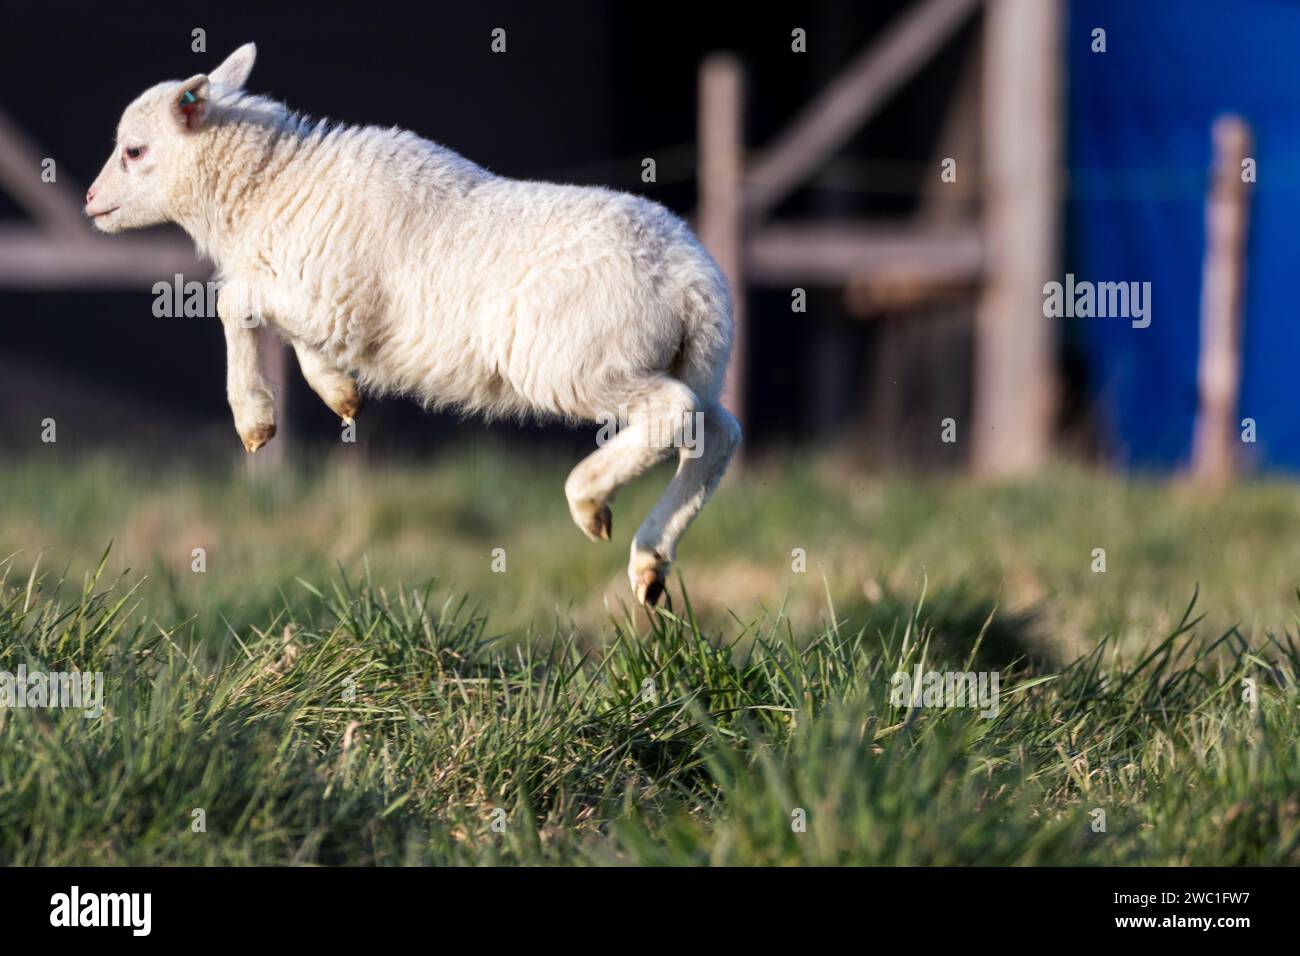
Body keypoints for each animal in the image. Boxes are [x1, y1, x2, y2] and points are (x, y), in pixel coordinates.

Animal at [84, 43, 741, 607]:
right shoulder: (324, 302)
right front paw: (338, 393)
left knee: (673, 412)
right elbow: (289, 331)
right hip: (689, 361)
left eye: (134, 151)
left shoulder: (331, 296)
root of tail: (691, 277)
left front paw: (255, 418)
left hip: (581, 362)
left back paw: (590, 499)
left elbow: (234, 301)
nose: (91, 201)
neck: (273, 187)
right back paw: (650, 561)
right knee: (716, 435)